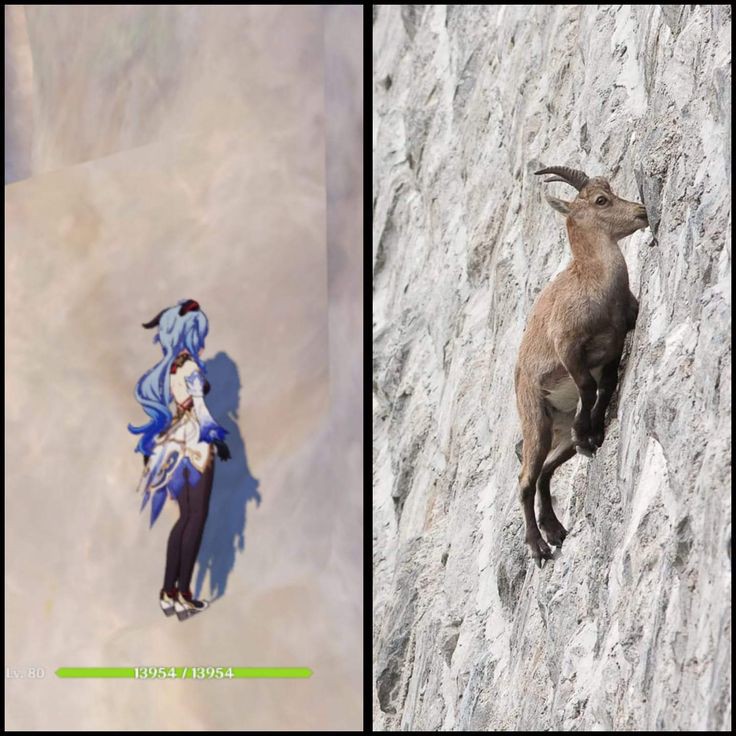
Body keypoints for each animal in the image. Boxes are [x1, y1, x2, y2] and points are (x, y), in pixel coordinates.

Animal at [514, 165, 648, 567]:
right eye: (601, 200)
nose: (641, 212)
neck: (596, 285)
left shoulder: (612, 347)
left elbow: (604, 389)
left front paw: (594, 435)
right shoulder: (569, 349)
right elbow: (588, 388)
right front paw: (585, 435)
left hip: (553, 437)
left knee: (544, 473)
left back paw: (555, 530)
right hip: (536, 422)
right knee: (526, 480)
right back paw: (539, 548)